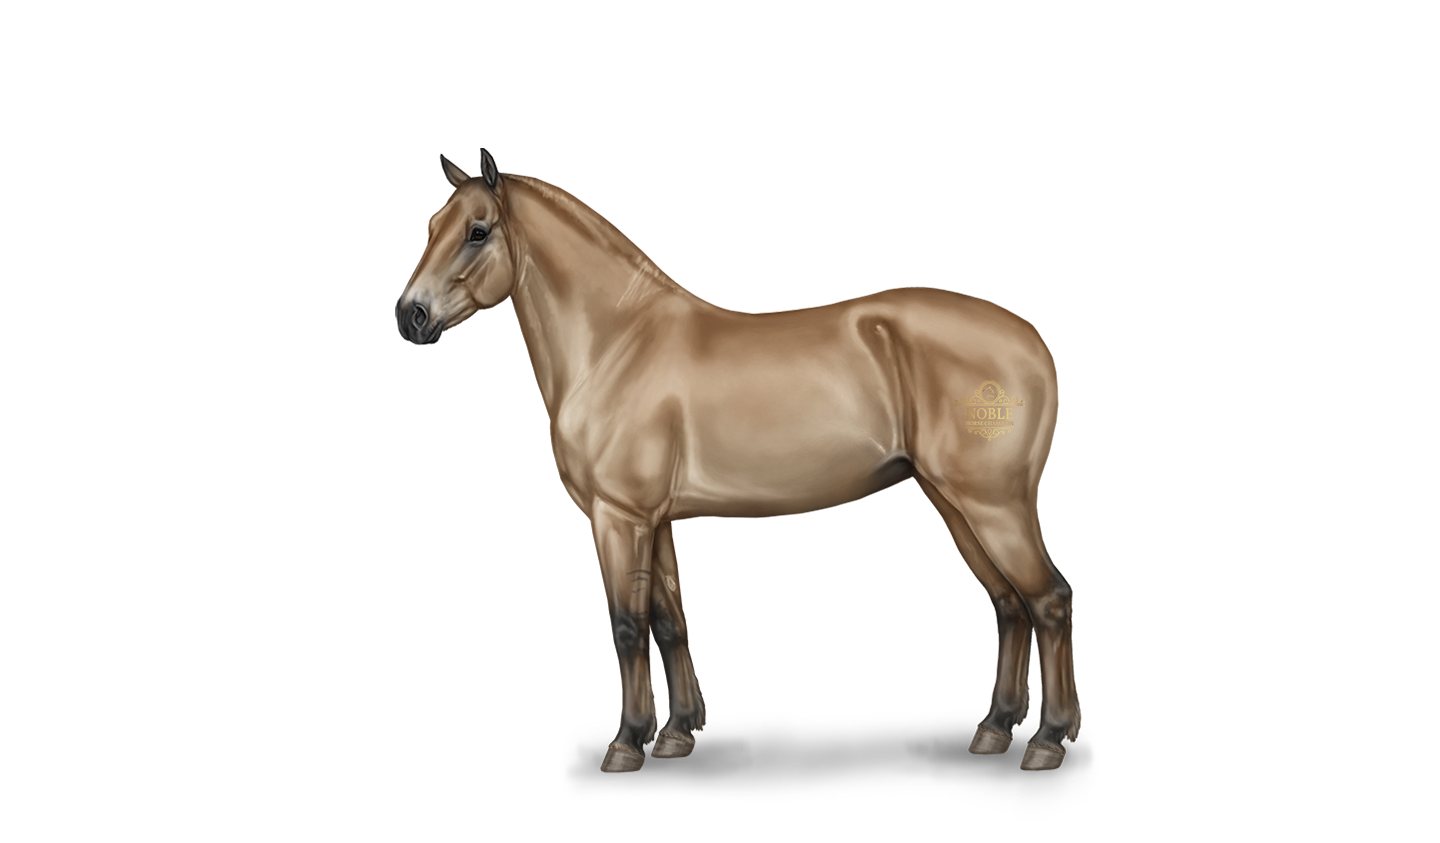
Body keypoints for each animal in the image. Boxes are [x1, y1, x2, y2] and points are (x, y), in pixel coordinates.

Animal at [395, 149, 1082, 773]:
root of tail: (1030, 342)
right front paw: (678, 733)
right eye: (430, 226)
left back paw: (1047, 740)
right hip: (955, 503)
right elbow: (668, 621)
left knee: (1047, 601)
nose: (412, 316)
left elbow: (627, 625)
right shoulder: (654, 521)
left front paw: (628, 743)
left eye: (478, 231)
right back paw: (995, 729)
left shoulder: (618, 515)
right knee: (1008, 605)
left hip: (992, 505)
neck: (616, 343)